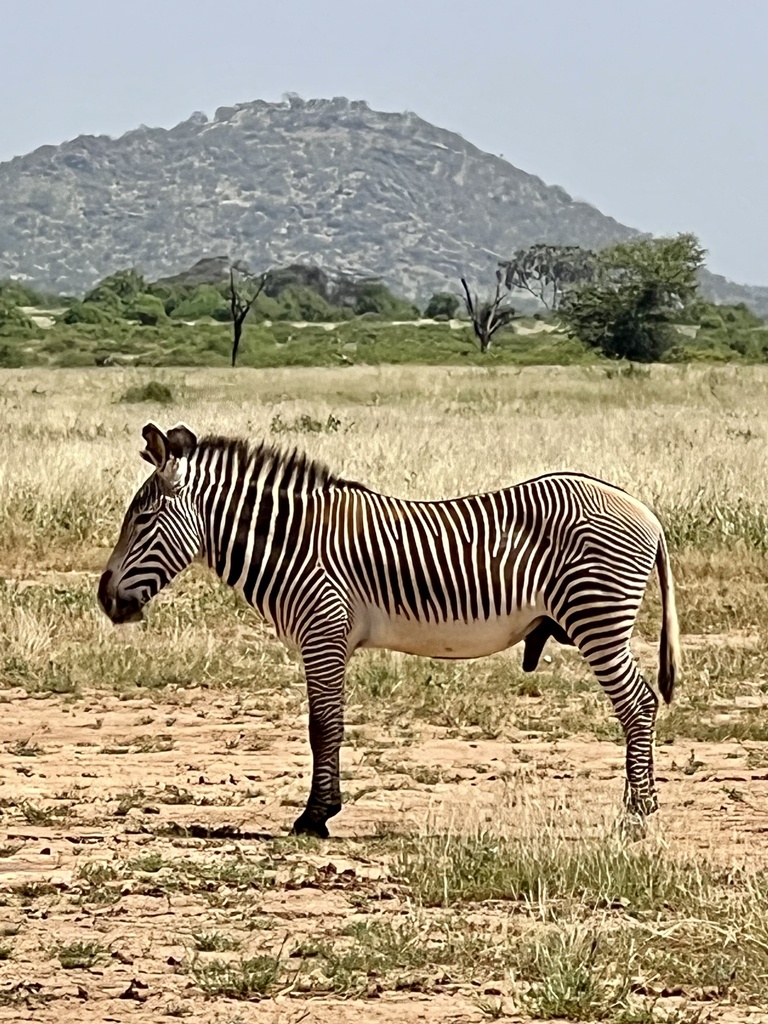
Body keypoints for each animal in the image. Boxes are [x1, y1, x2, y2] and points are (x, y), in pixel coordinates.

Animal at [98, 422, 680, 838]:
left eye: (143, 519)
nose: (105, 599)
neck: (292, 543)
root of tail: (644, 511)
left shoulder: (324, 631)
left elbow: (322, 727)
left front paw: (315, 817)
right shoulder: (328, 638)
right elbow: (328, 725)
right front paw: (320, 812)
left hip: (596, 615)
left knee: (638, 703)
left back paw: (639, 811)